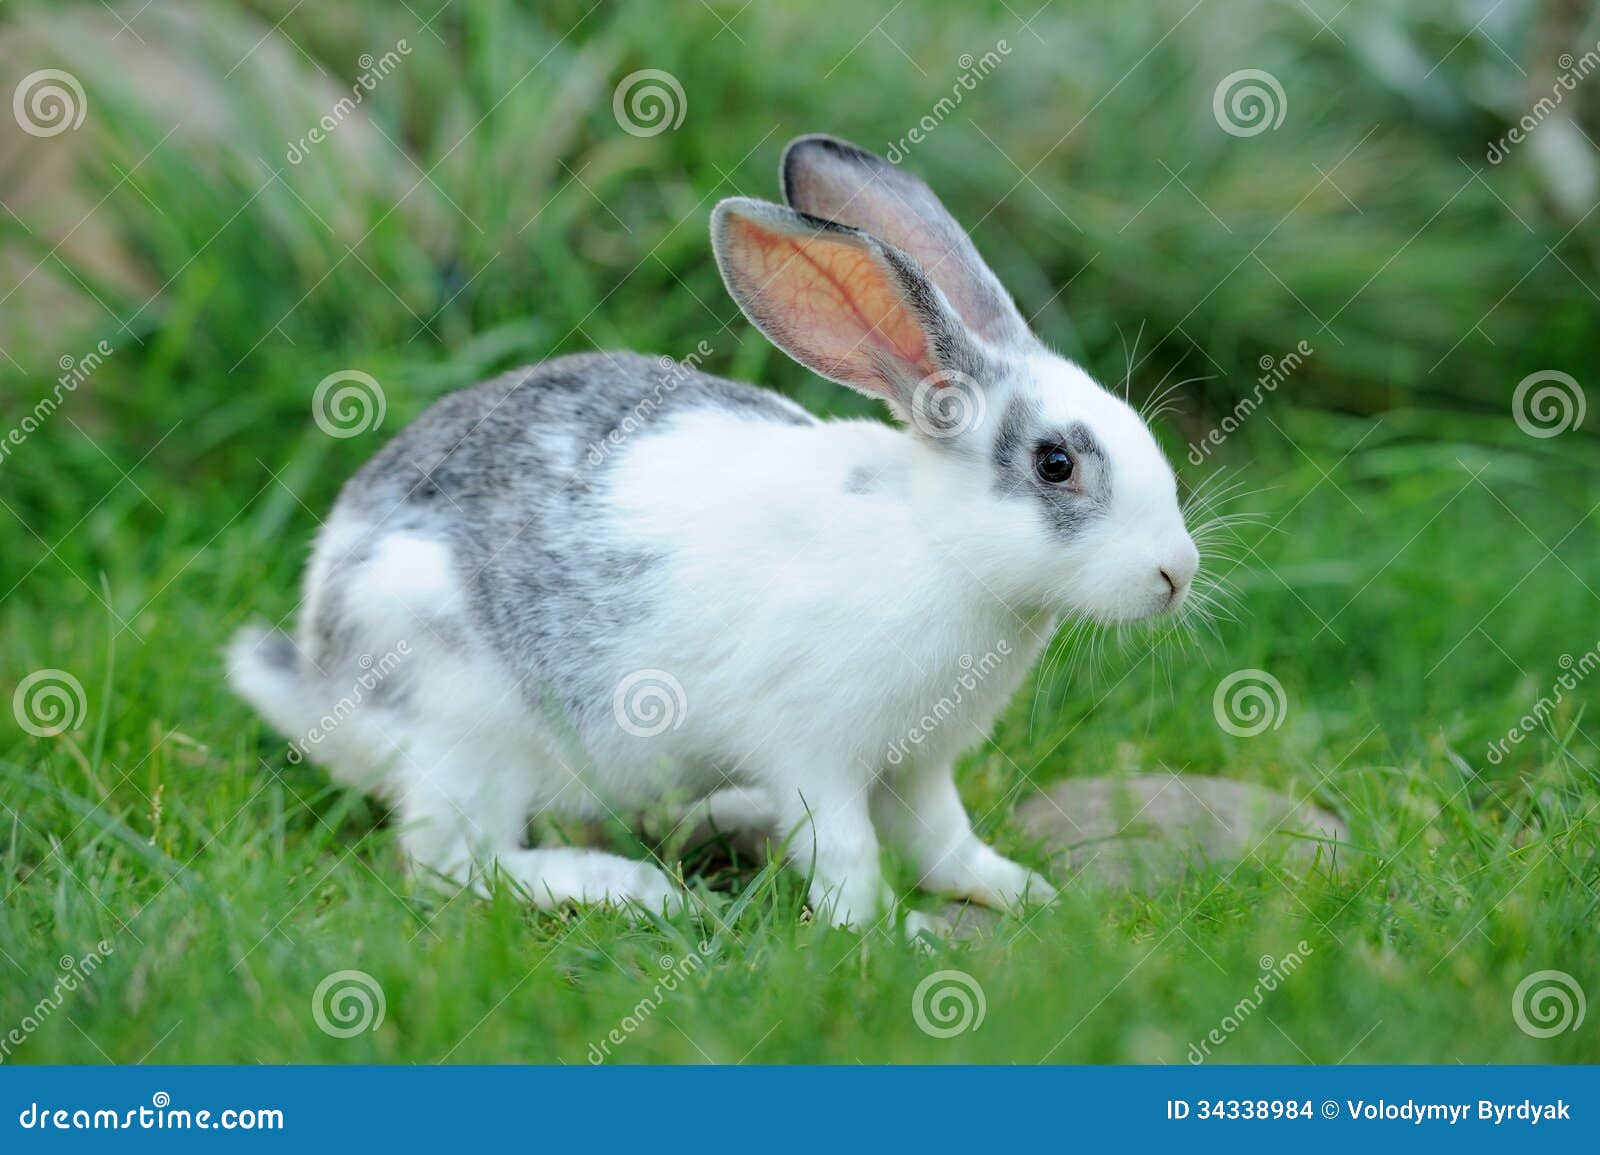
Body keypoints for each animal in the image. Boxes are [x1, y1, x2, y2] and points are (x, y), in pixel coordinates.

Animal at [227, 133, 1199, 929]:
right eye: (1055, 464)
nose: (1176, 573)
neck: (936, 544)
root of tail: (318, 679)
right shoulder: (816, 749)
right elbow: (848, 850)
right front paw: (887, 937)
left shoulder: (918, 764)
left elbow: (944, 838)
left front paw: (1020, 891)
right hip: (458, 719)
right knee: (457, 866)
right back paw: (636, 890)